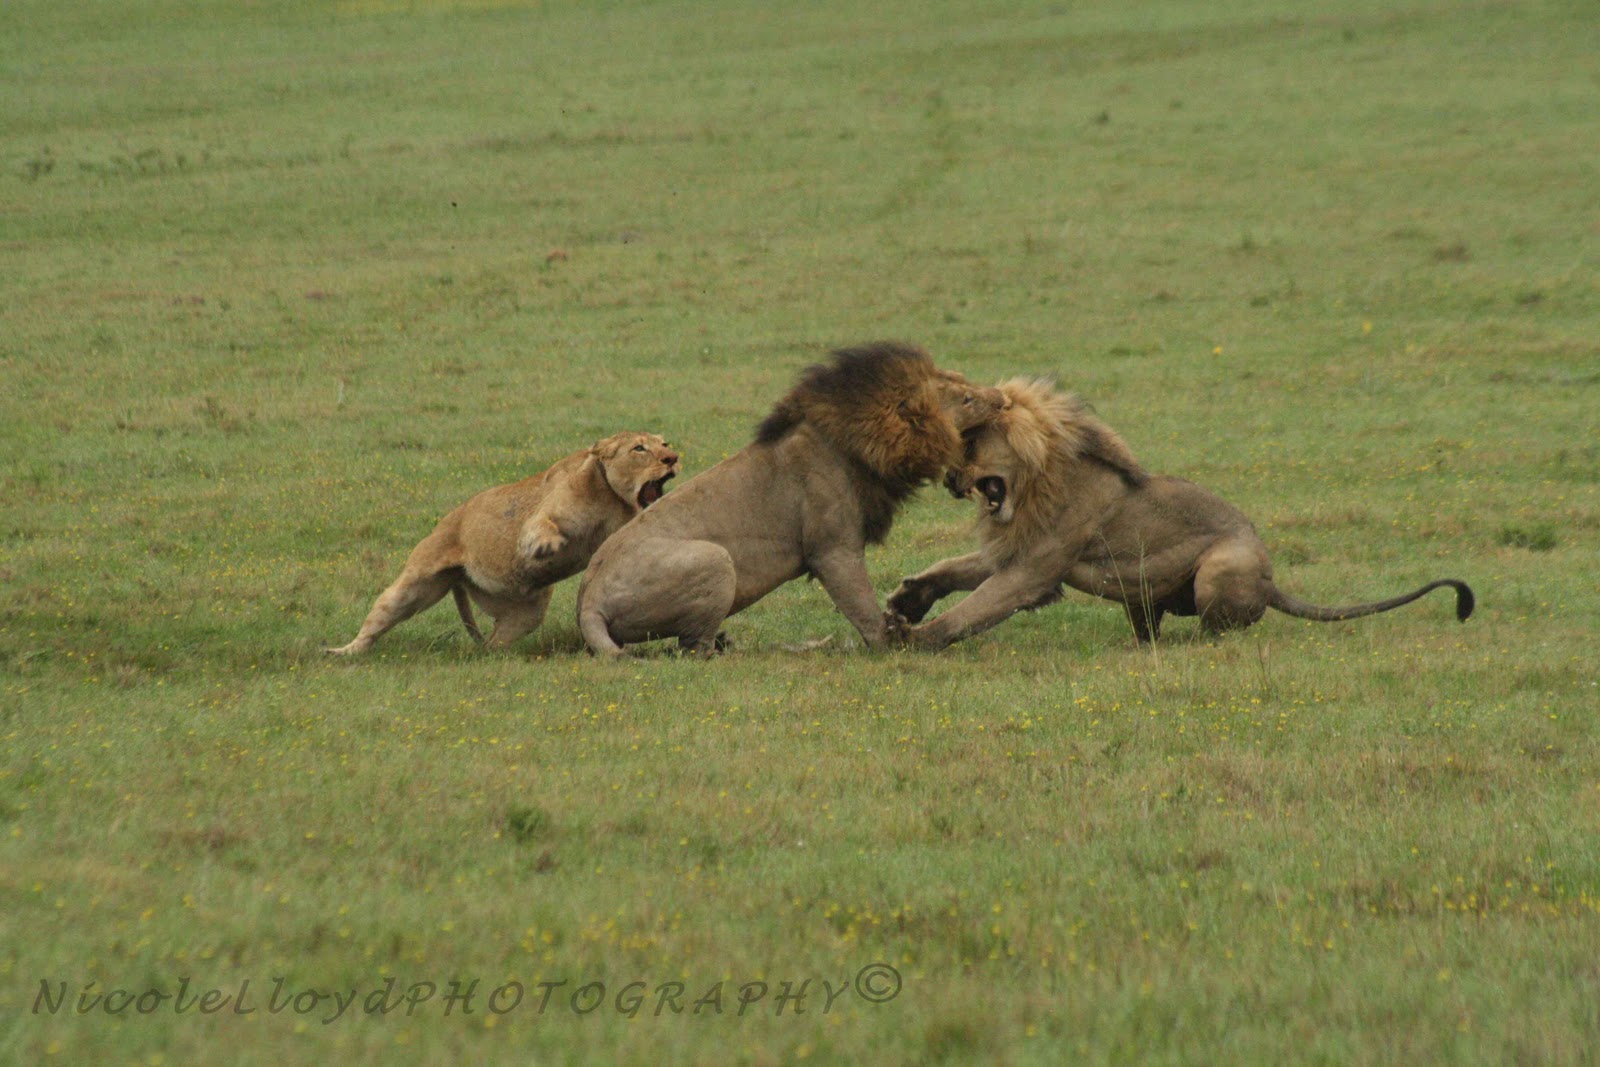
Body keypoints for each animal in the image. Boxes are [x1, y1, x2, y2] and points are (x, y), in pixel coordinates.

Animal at [327, 431, 680, 654]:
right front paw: (544, 548)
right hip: (414, 585)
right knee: (379, 618)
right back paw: (342, 652)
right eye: (639, 449)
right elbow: (540, 529)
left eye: (664, 443)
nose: (673, 457)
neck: (613, 500)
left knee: (492, 644)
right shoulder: (540, 514)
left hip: (525, 615)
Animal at [575, 342, 1008, 655]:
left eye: (965, 384)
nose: (1003, 399)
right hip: (714, 558)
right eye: (967, 400)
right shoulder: (832, 549)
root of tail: (588, 602)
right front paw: (898, 642)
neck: (857, 446)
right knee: (691, 649)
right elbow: (863, 607)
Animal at [886, 378, 1475, 648]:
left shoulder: (1037, 566)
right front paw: (905, 599)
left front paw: (911, 638)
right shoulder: (1018, 546)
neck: (1038, 481)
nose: (949, 481)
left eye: (970, 446)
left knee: (1221, 626)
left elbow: (975, 607)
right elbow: (954, 570)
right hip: (1142, 599)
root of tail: (1273, 582)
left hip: (1223, 566)